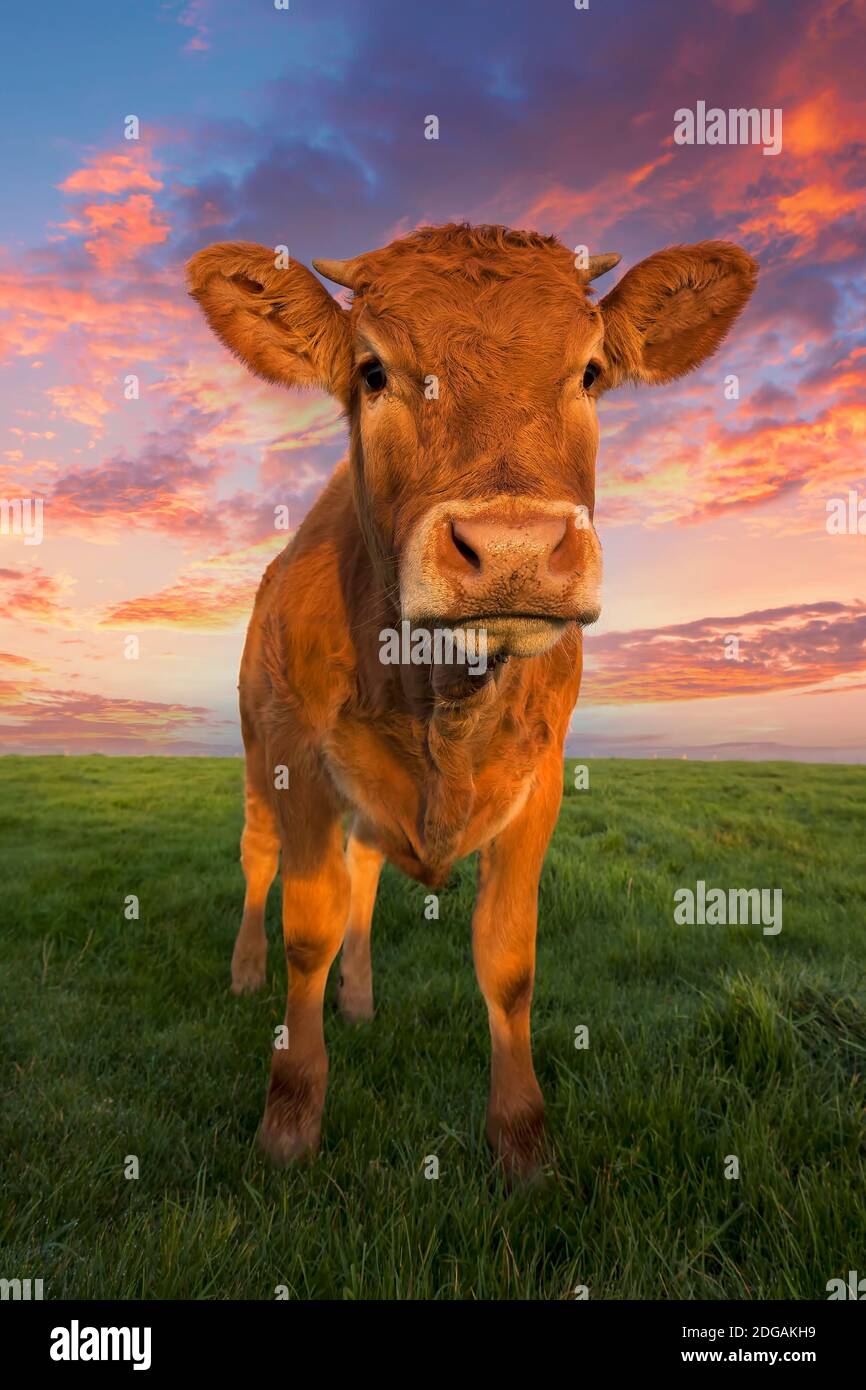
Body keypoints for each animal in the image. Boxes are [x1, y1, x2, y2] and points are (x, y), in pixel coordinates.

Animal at [187, 224, 757, 1181]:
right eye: (372, 372)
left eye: (591, 371)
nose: (514, 548)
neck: (440, 696)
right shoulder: (300, 759)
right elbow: (308, 928)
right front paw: (289, 1123)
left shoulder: (543, 780)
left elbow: (508, 957)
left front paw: (523, 1143)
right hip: (255, 756)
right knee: (259, 861)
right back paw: (243, 973)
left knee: (365, 877)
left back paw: (361, 1002)